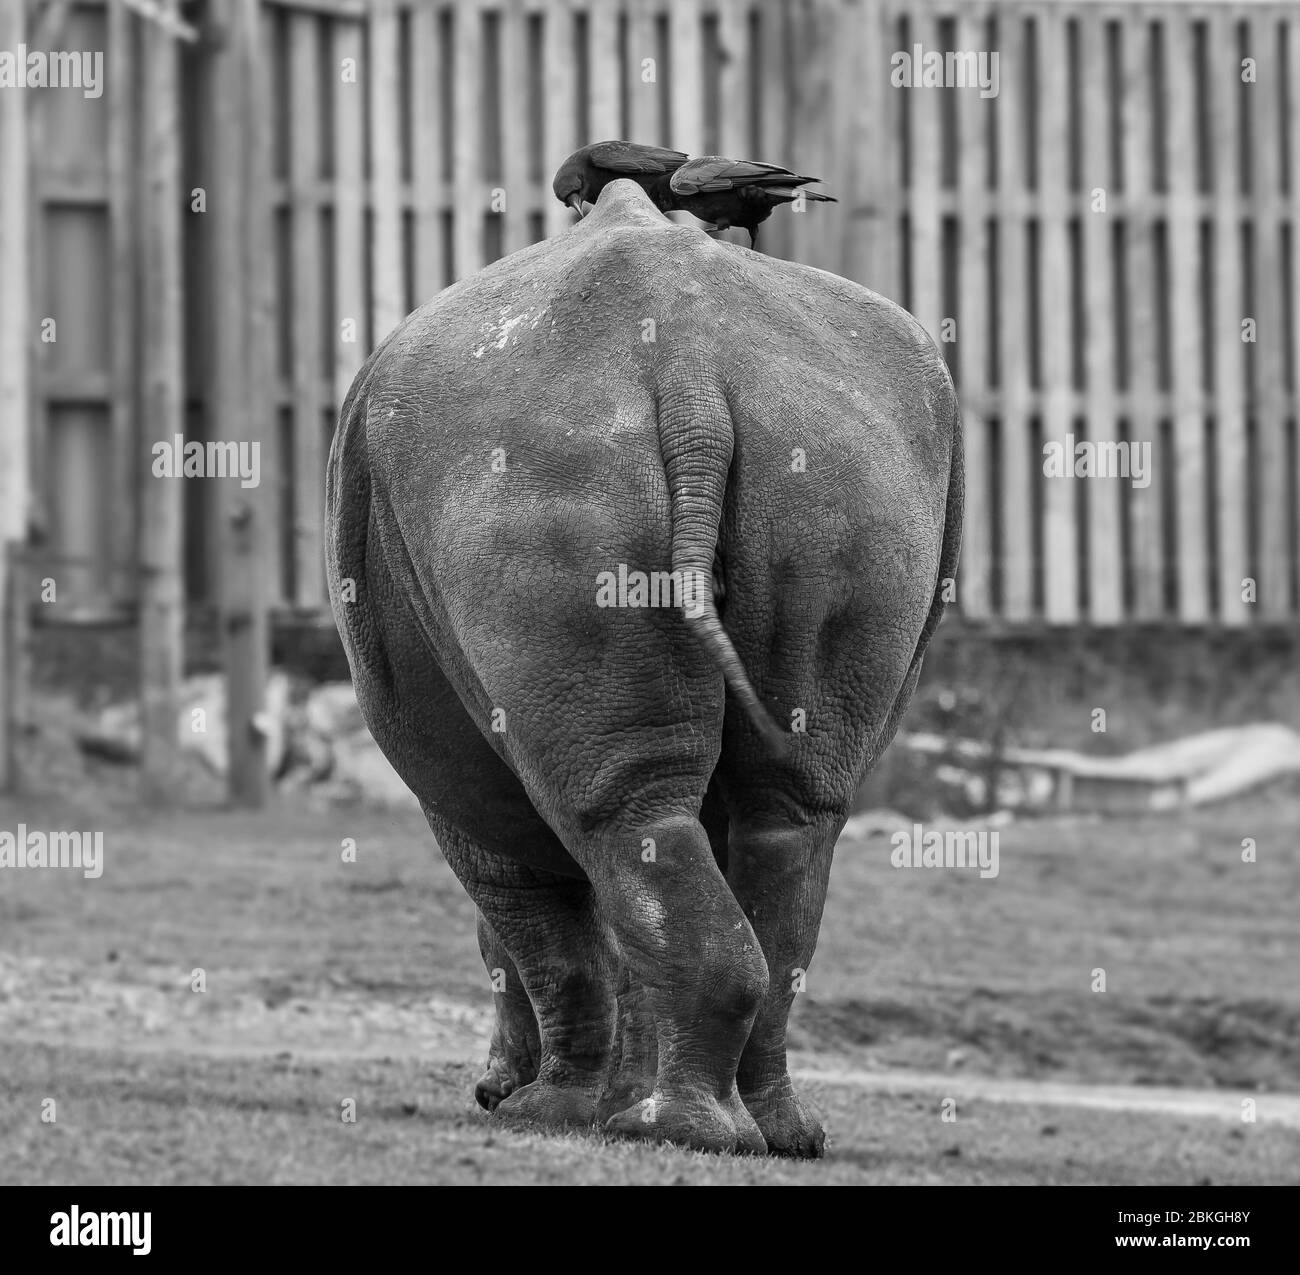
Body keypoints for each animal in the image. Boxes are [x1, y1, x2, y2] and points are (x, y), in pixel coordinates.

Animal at [325, 180, 962, 1156]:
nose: (484, 1090)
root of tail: (691, 371)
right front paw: (605, 1108)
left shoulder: (461, 786)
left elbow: (538, 924)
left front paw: (554, 1112)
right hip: (843, 459)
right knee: (787, 815)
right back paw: (763, 1133)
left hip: (532, 464)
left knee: (619, 820)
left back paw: (670, 1129)